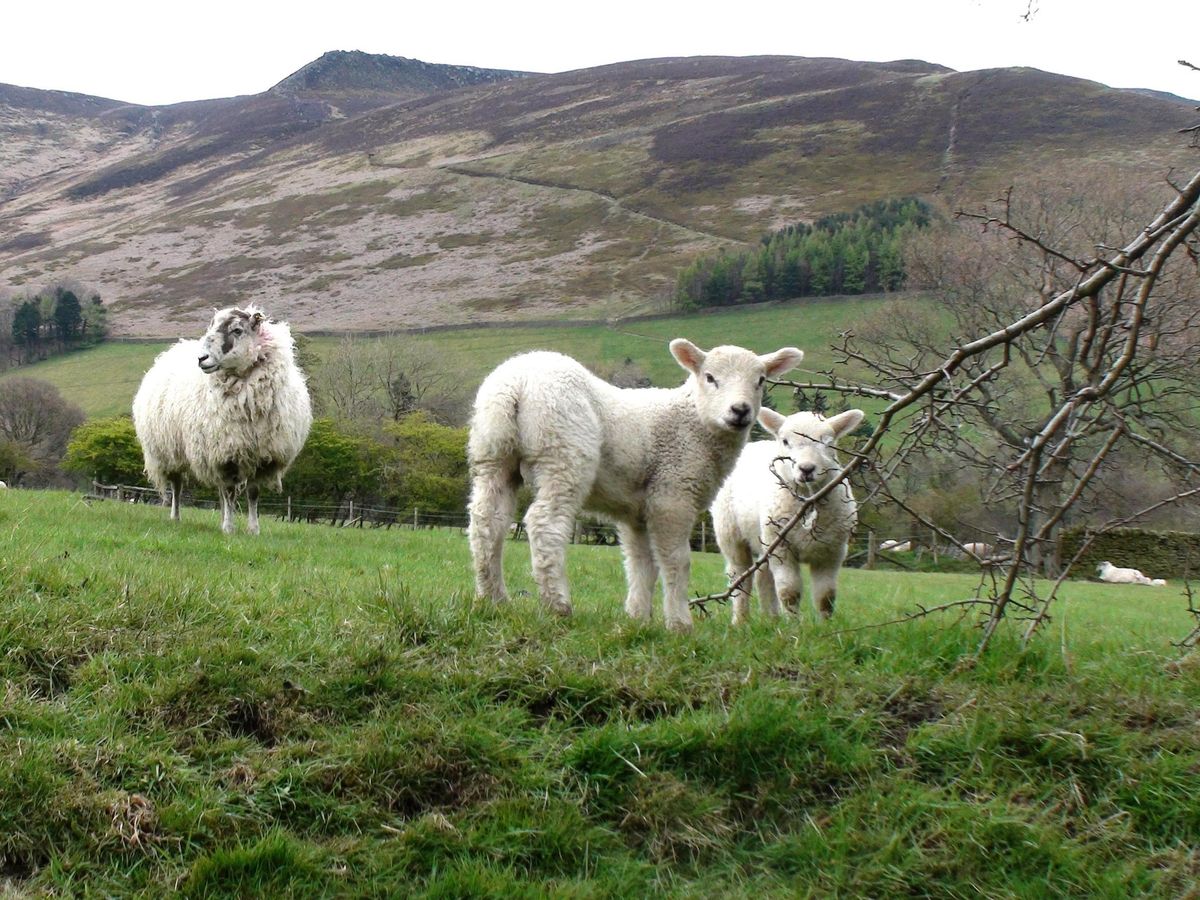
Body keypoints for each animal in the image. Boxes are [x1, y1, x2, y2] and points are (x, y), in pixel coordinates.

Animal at [132, 306, 312, 534]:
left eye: (237, 330)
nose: (201, 358)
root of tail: (173, 349)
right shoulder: (225, 453)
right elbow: (229, 491)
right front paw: (228, 528)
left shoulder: (262, 456)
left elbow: (252, 493)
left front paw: (253, 529)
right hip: (168, 451)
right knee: (177, 486)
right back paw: (176, 517)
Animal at [467, 339, 804, 632]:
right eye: (710, 377)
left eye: (760, 380)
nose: (740, 410)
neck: (694, 422)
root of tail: (515, 383)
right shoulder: (672, 494)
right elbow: (676, 560)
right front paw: (679, 623)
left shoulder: (637, 512)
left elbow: (642, 564)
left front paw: (638, 617)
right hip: (563, 449)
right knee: (545, 524)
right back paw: (557, 604)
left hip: (493, 453)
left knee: (487, 520)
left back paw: (493, 598)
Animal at [711, 407, 863, 624]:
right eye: (785, 441)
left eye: (828, 441)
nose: (806, 469)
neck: (807, 498)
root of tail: (753, 445)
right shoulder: (782, 548)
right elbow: (789, 592)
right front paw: (793, 625)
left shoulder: (832, 552)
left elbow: (826, 596)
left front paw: (826, 626)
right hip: (731, 532)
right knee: (740, 577)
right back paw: (740, 621)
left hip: (766, 539)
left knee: (763, 576)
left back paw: (771, 618)